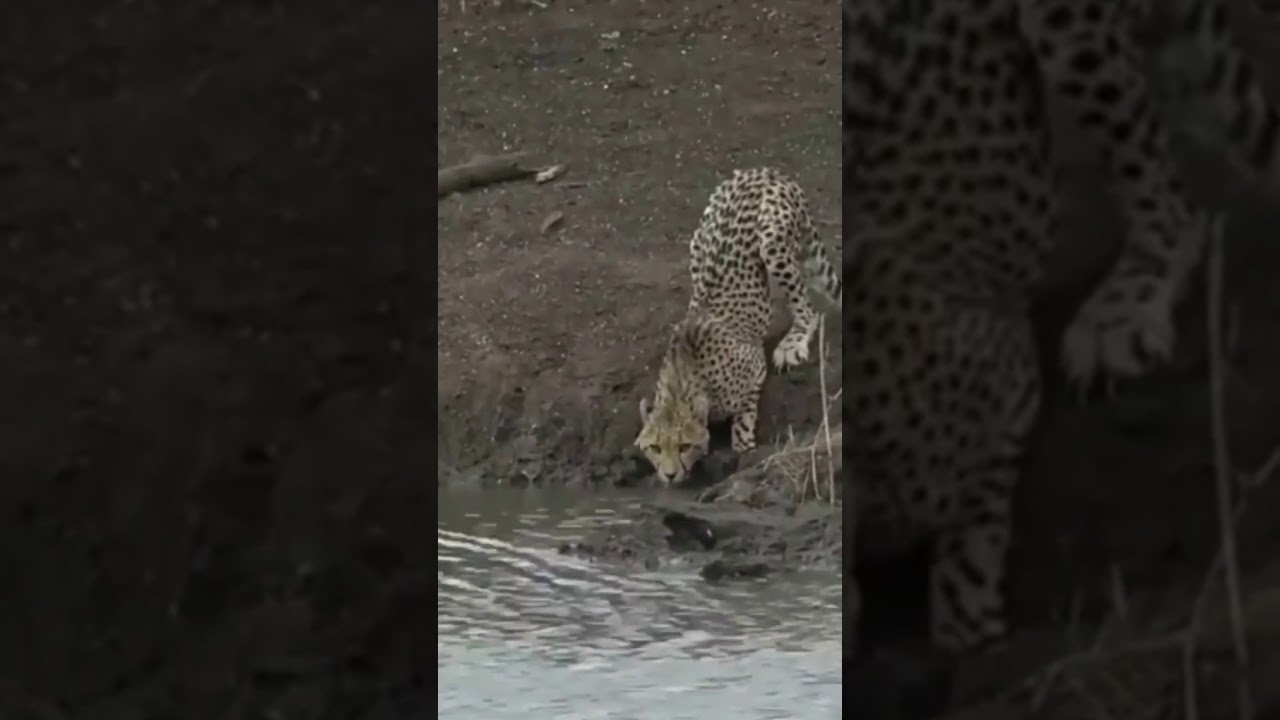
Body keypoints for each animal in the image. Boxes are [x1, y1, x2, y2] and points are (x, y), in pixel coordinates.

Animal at [634, 167, 842, 486]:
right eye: (655, 447)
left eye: (684, 446)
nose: (669, 475)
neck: (684, 381)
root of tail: (763, 170)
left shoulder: (754, 370)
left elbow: (743, 420)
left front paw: (743, 448)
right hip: (697, 241)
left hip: (771, 242)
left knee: (809, 311)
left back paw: (793, 342)